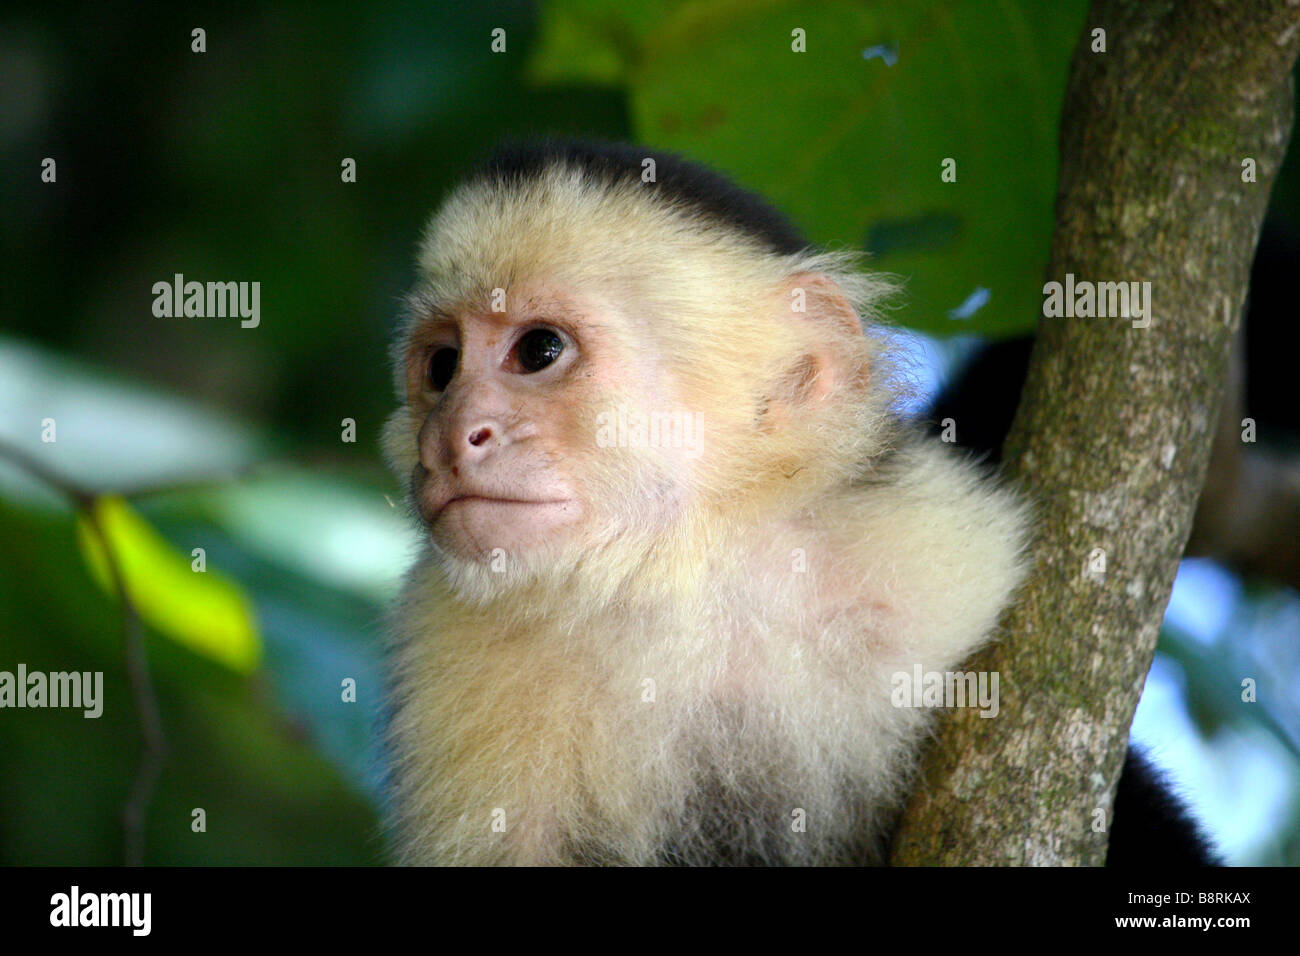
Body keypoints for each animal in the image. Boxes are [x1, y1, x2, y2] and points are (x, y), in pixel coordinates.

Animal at [380, 139, 1032, 866]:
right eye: (442, 368)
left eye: (539, 350)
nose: (446, 439)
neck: (682, 574)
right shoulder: (447, 641)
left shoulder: (929, 550)